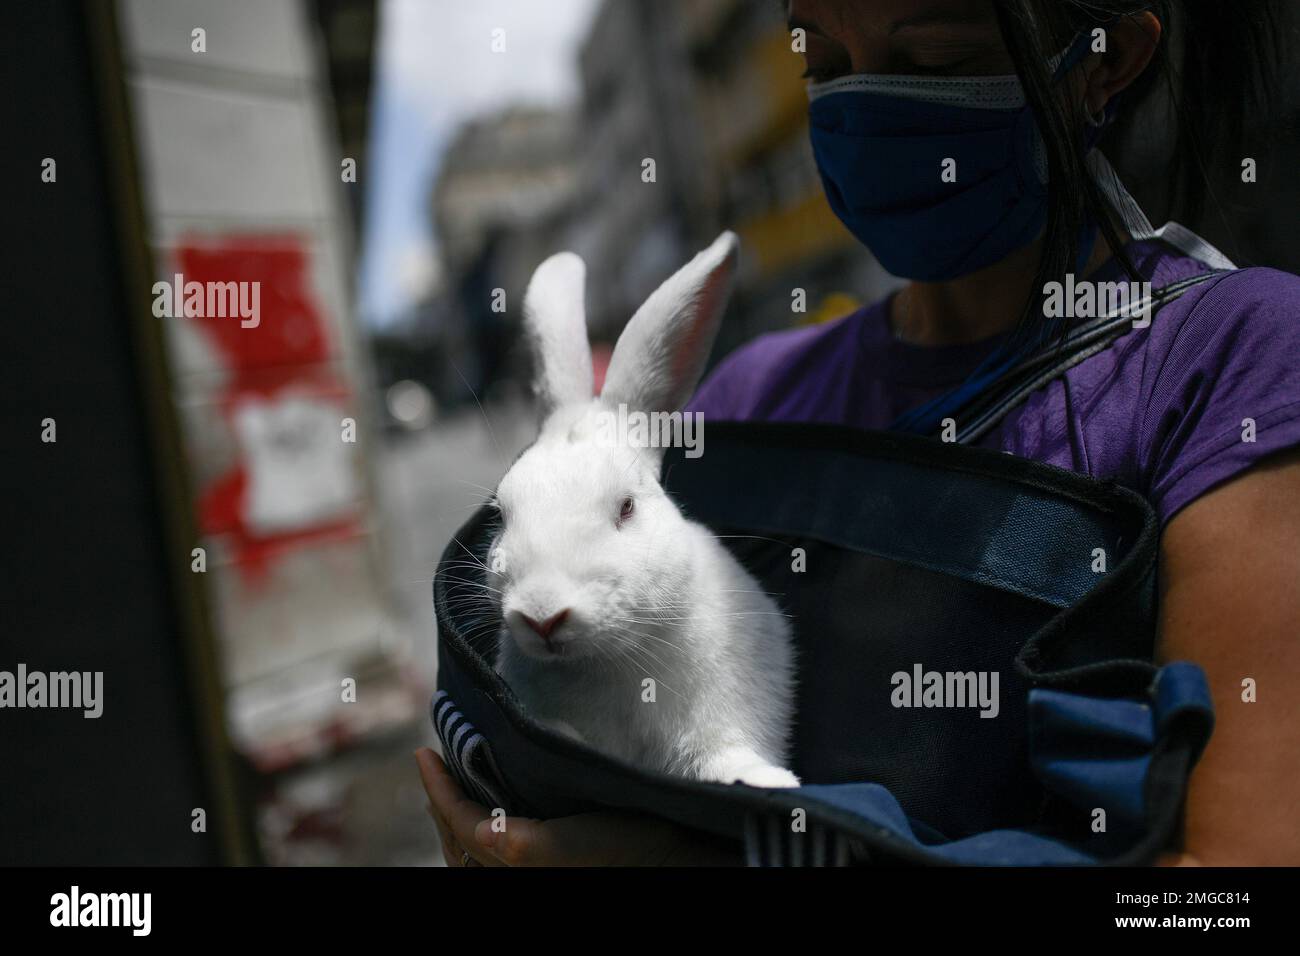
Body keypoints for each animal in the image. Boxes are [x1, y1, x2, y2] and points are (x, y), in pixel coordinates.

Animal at [484, 231, 799, 789]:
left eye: (626, 507)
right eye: (500, 513)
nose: (542, 615)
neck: (610, 657)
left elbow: (727, 757)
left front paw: (769, 782)